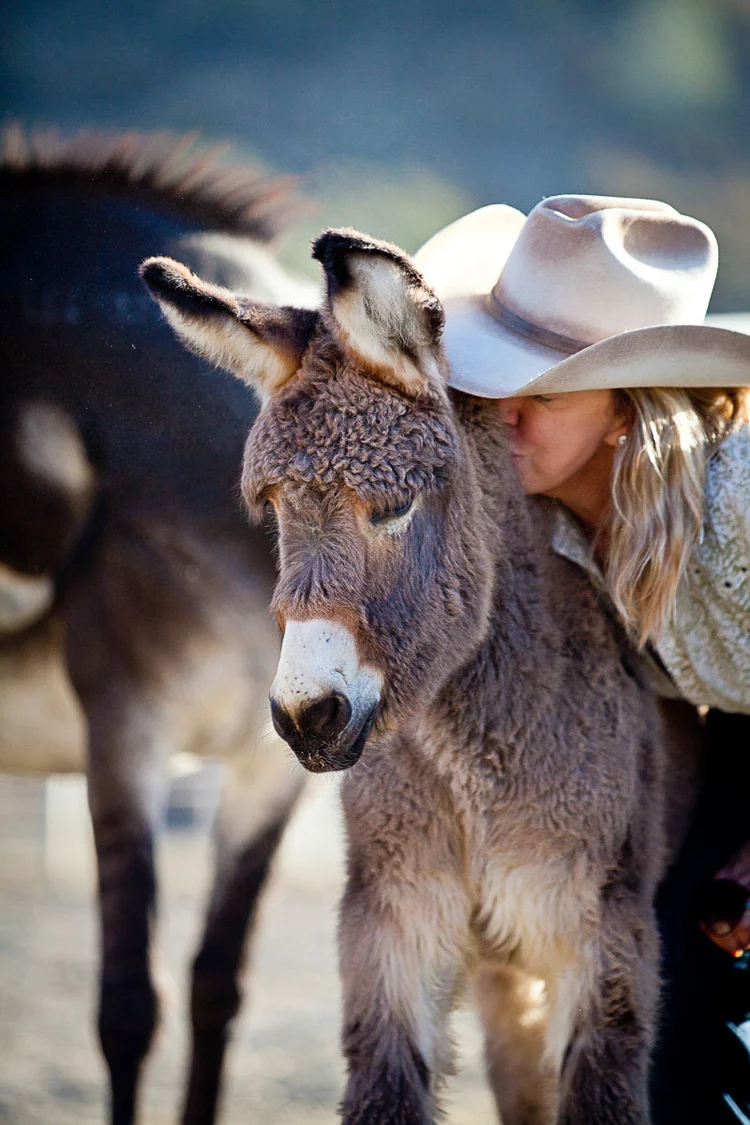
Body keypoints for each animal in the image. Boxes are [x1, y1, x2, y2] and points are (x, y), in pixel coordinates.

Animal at [141, 229, 696, 1125]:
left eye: (395, 506)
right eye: (274, 509)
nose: (307, 714)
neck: (476, 763)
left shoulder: (602, 936)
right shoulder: (394, 924)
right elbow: (388, 1089)